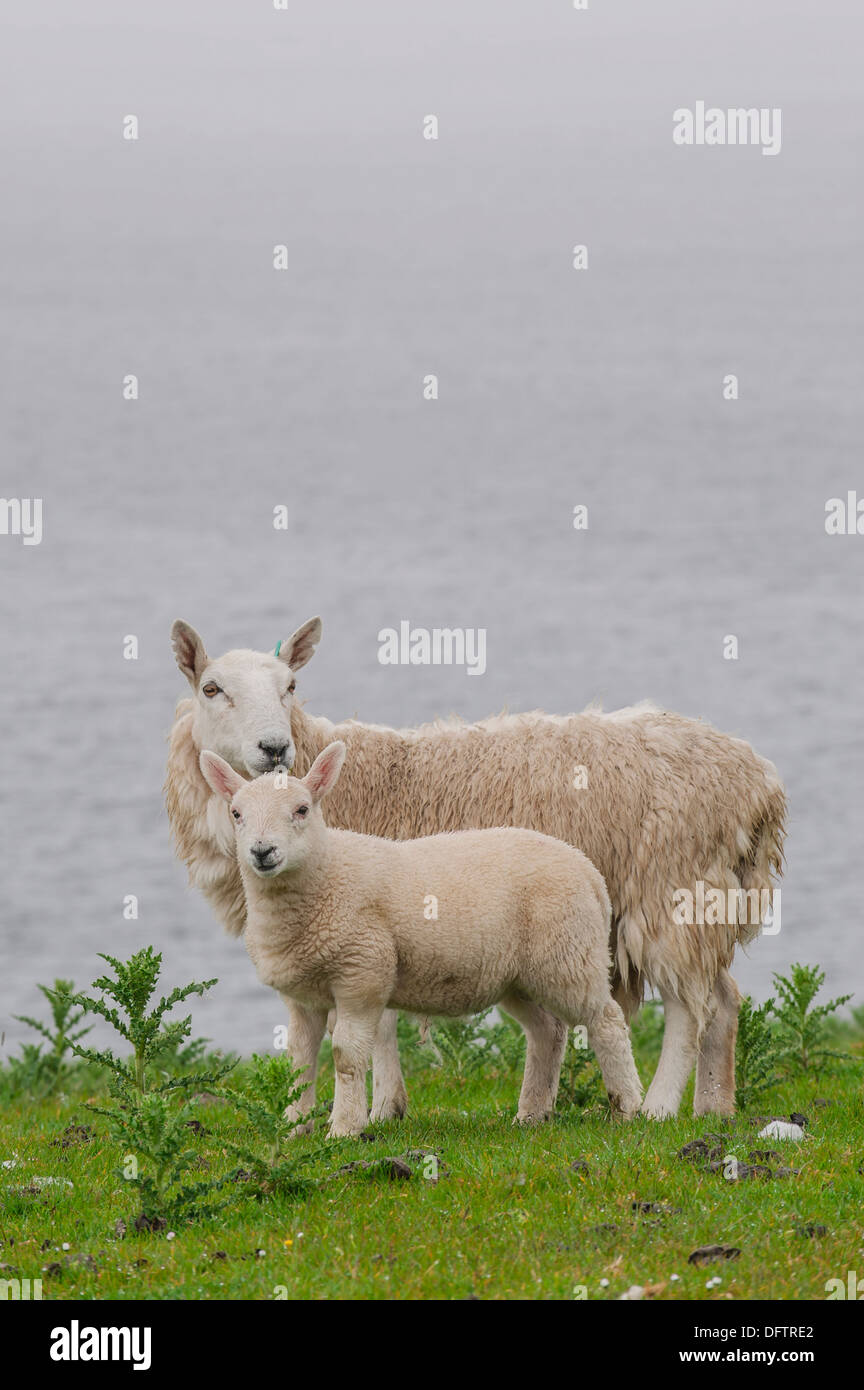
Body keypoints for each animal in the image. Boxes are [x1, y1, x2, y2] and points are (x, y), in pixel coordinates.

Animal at [198, 741, 644, 1136]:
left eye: (302, 809)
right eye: (236, 813)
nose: (262, 852)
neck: (326, 875)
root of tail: (588, 871)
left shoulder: (362, 973)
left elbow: (345, 1055)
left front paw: (344, 1128)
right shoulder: (302, 996)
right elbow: (299, 1062)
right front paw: (294, 1129)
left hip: (568, 954)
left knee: (606, 1021)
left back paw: (628, 1108)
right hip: (519, 975)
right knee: (547, 1031)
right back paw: (532, 1114)